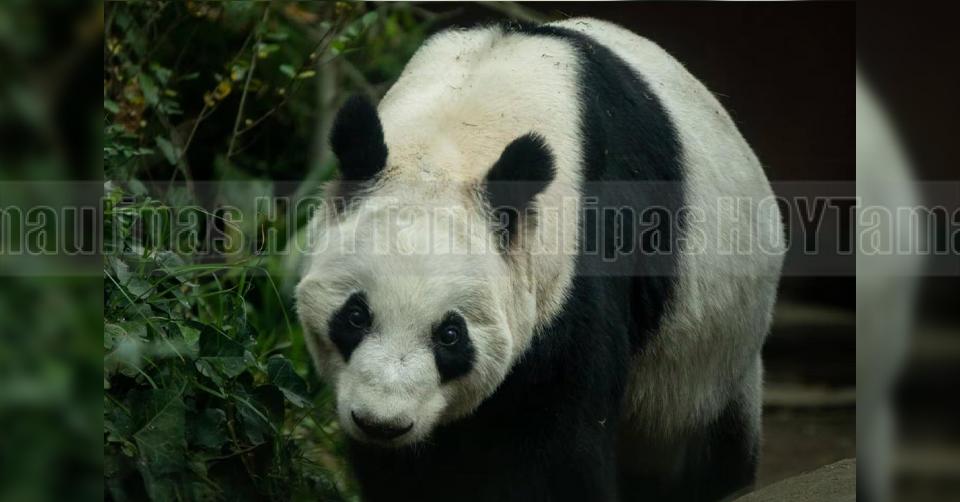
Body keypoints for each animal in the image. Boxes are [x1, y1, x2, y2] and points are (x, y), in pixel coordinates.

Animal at [296, 18, 785, 502]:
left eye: (450, 334)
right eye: (355, 315)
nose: (382, 423)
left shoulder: (581, 254)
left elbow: (555, 446)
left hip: (708, 366)